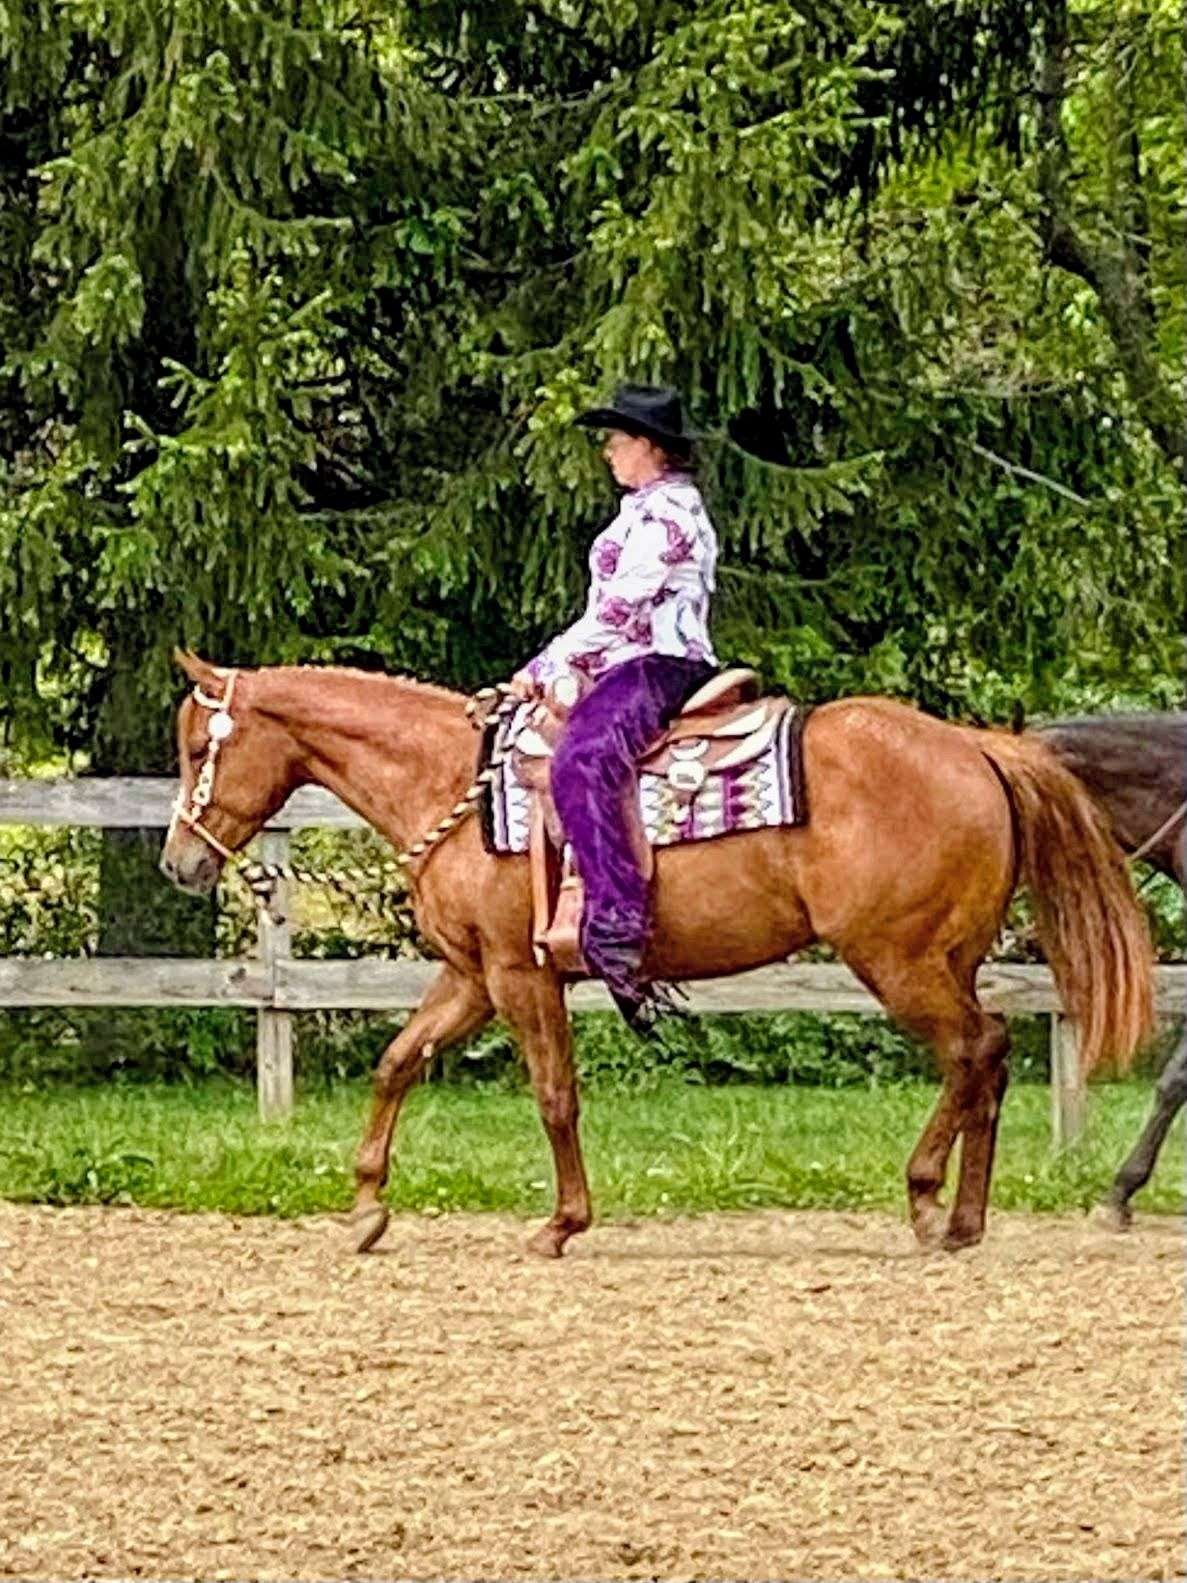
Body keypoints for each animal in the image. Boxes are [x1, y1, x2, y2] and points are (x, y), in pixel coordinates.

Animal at [160, 653, 1154, 1257]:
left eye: (197, 745)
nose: (179, 861)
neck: (455, 784)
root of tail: (977, 749)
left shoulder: (520, 975)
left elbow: (554, 1094)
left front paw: (561, 1222)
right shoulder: (472, 975)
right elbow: (397, 1061)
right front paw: (368, 1205)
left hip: (897, 960)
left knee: (972, 1050)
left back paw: (923, 1199)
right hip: (945, 957)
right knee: (987, 1056)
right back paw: (963, 1217)